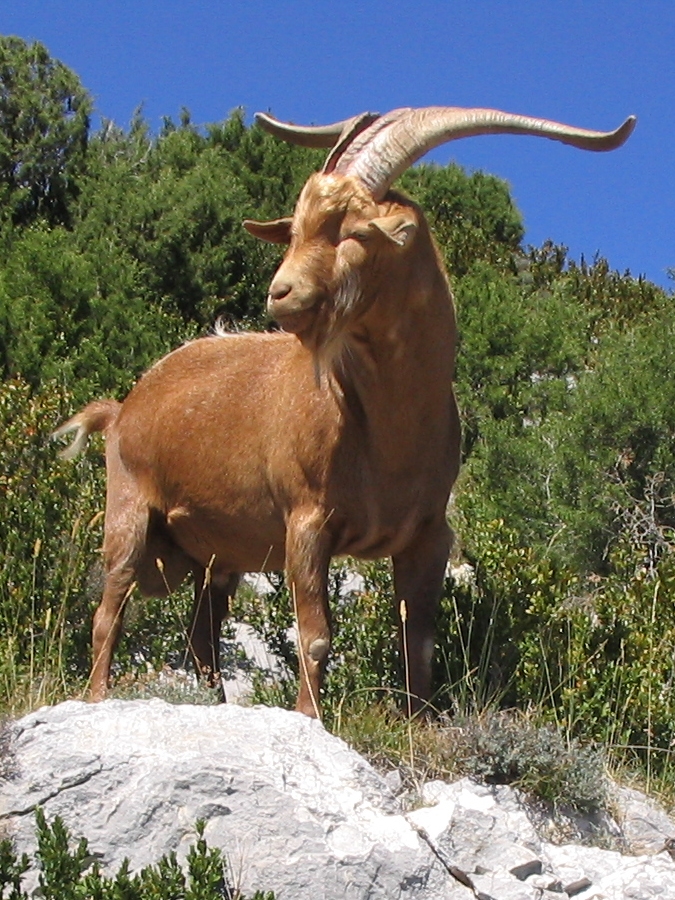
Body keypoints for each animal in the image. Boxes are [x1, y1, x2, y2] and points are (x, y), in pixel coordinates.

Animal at [54, 105, 635, 717]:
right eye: (297, 227)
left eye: (353, 230)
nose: (280, 293)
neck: (388, 432)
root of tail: (122, 408)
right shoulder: (307, 521)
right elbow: (315, 634)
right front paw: (309, 717)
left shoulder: (430, 535)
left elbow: (418, 640)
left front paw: (418, 720)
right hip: (129, 511)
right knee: (108, 613)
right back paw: (96, 698)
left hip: (220, 557)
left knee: (200, 635)